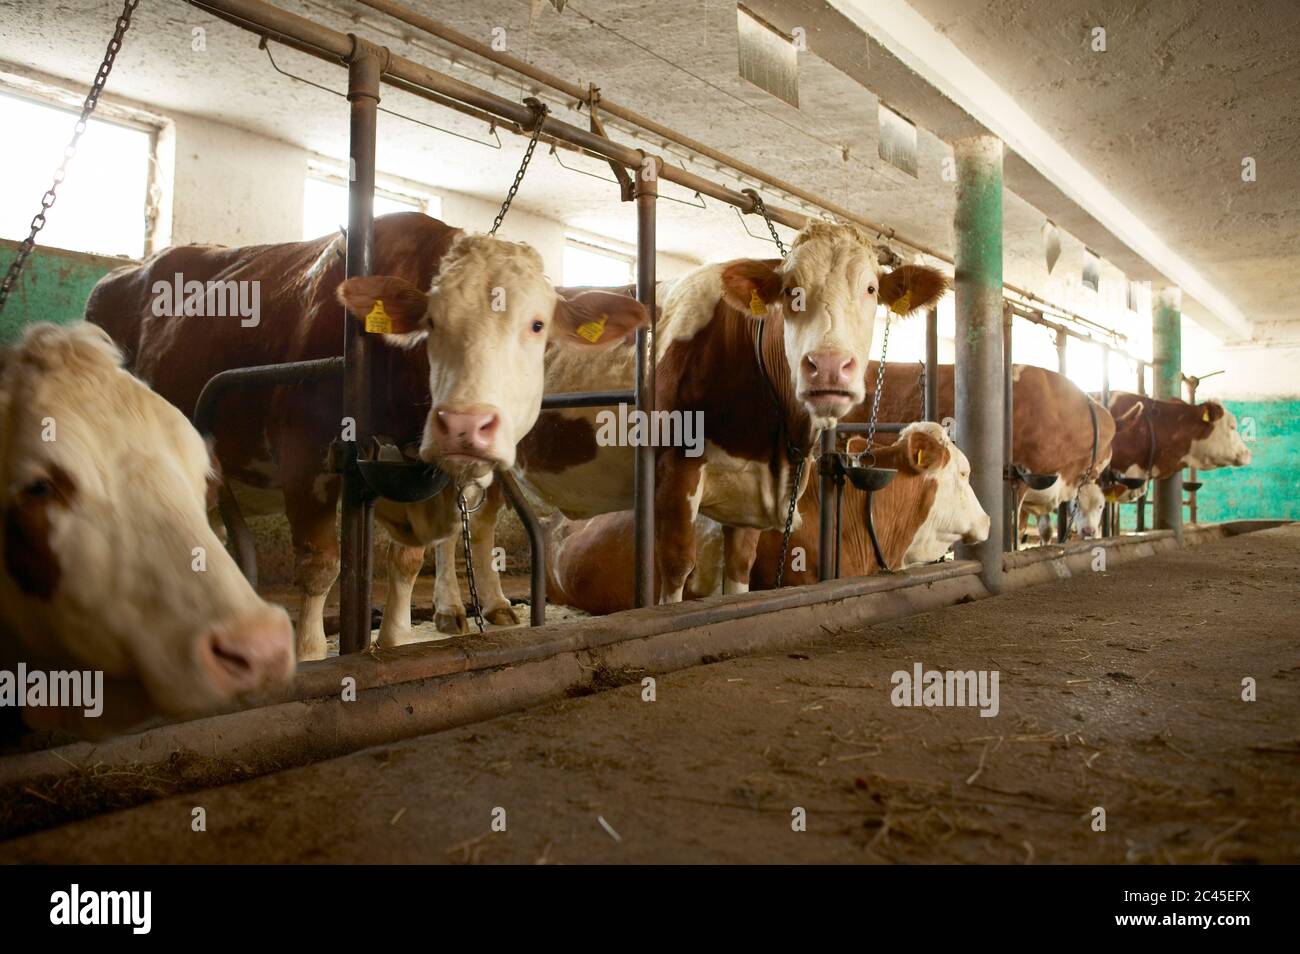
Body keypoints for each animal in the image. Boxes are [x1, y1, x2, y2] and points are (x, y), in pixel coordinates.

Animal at [85, 212, 648, 659]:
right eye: (431, 321)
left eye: (537, 325)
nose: (464, 424)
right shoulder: (305, 455)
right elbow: (320, 565)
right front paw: (311, 653)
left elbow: (407, 559)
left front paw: (393, 640)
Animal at [515, 222, 948, 604]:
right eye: (791, 291)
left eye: (871, 289)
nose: (827, 366)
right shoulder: (675, 471)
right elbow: (676, 567)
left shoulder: (750, 492)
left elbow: (740, 568)